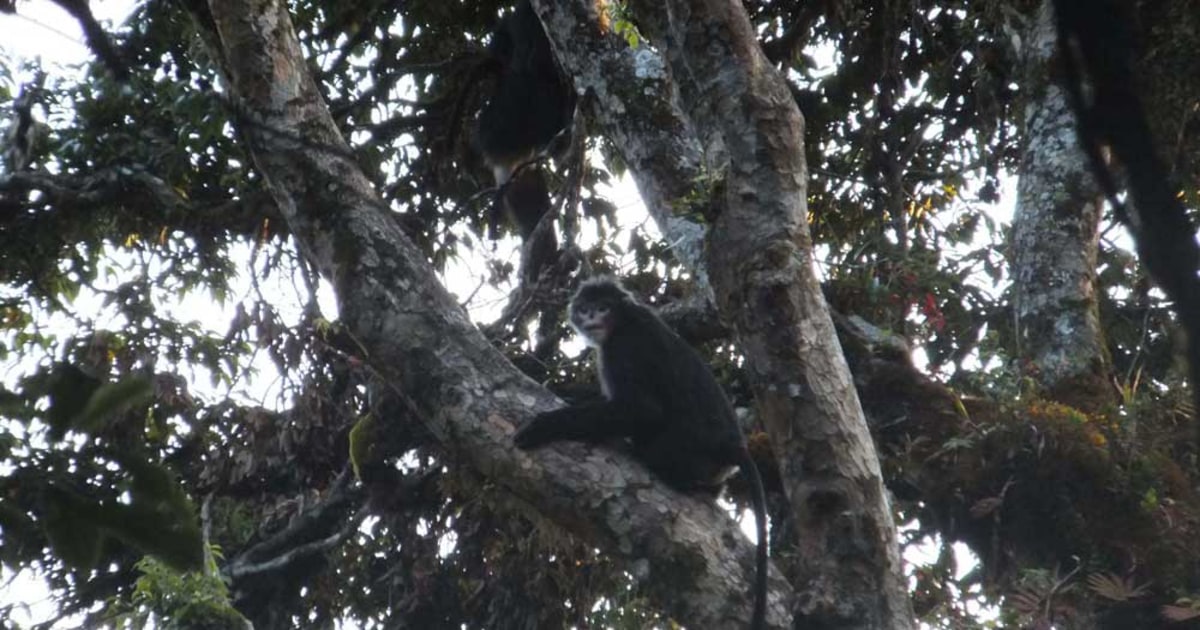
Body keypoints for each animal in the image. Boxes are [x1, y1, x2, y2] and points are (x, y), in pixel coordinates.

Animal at [514, 278, 769, 629]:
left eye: (603, 306)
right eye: (586, 308)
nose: (592, 316)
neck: (624, 320)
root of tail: (731, 444)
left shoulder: (623, 347)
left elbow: (643, 410)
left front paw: (545, 425)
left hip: (680, 449)